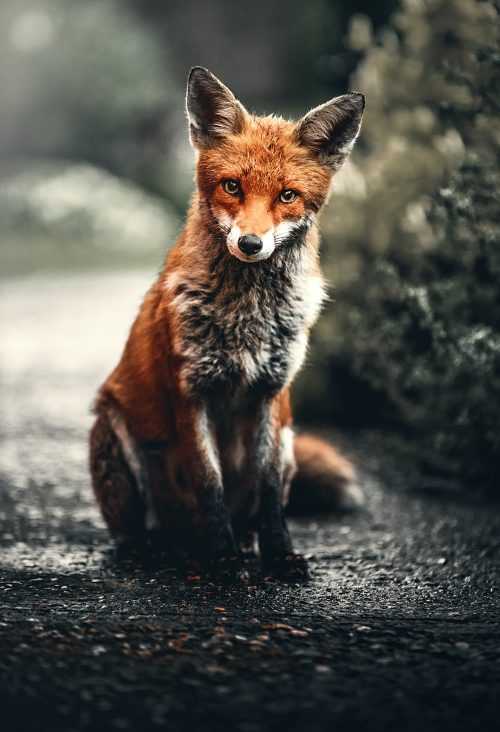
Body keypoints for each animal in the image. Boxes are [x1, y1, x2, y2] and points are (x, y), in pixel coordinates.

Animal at [89, 67, 365, 581]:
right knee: (137, 529)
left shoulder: (272, 395)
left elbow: (270, 493)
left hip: (290, 439)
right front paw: (222, 559)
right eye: (232, 186)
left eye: (287, 195)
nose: (251, 244)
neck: (247, 316)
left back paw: (243, 544)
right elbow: (209, 483)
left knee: (252, 511)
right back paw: (154, 550)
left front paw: (279, 555)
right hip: (114, 431)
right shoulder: (190, 391)